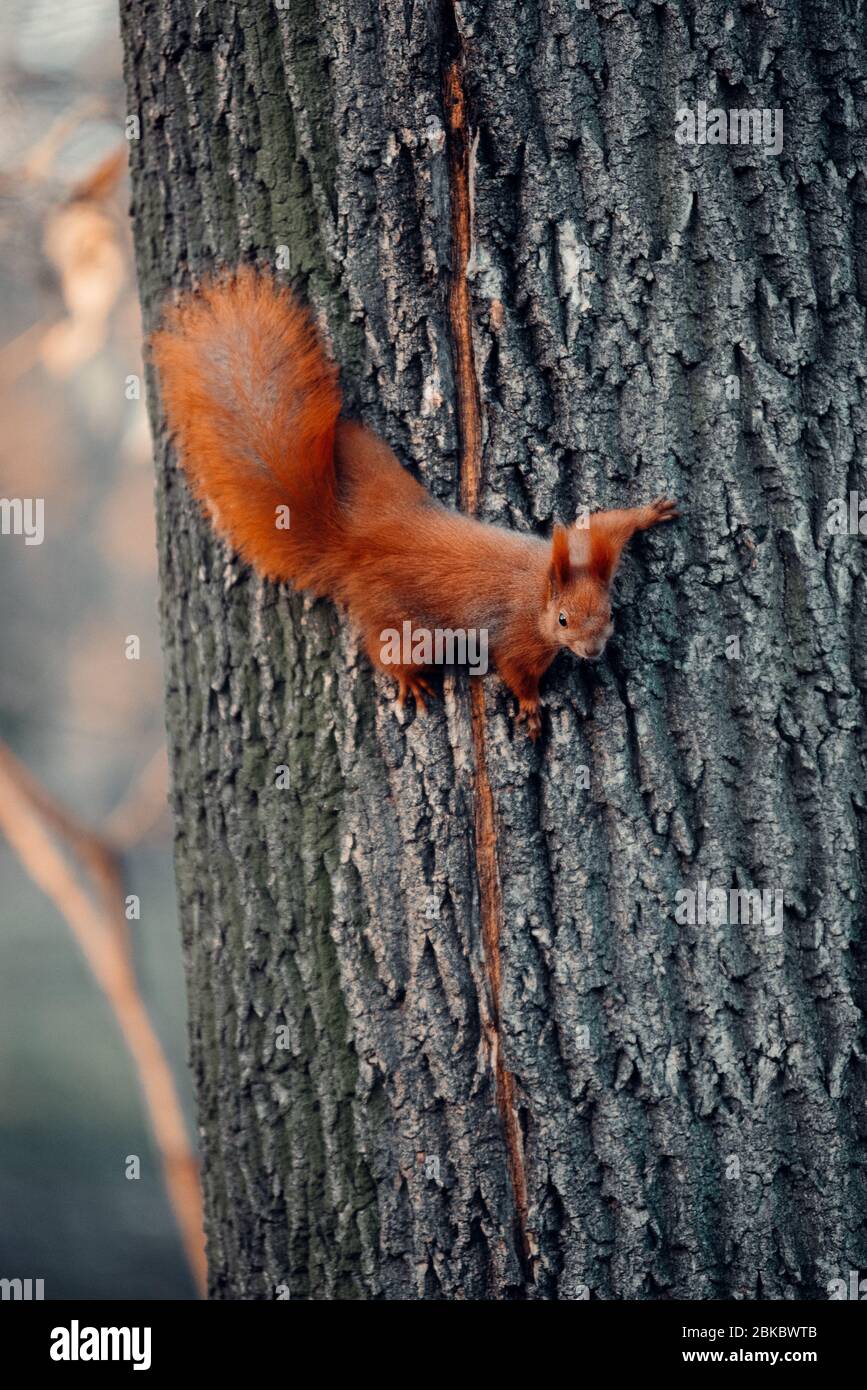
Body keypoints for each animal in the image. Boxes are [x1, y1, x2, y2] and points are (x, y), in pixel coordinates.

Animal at [151, 269, 678, 740]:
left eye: (611, 613)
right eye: (564, 620)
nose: (592, 652)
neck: (539, 590)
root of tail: (357, 545)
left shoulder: (585, 545)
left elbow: (608, 524)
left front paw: (652, 512)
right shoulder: (517, 638)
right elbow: (514, 672)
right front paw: (529, 706)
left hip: (377, 472)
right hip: (404, 625)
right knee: (386, 652)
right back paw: (410, 680)